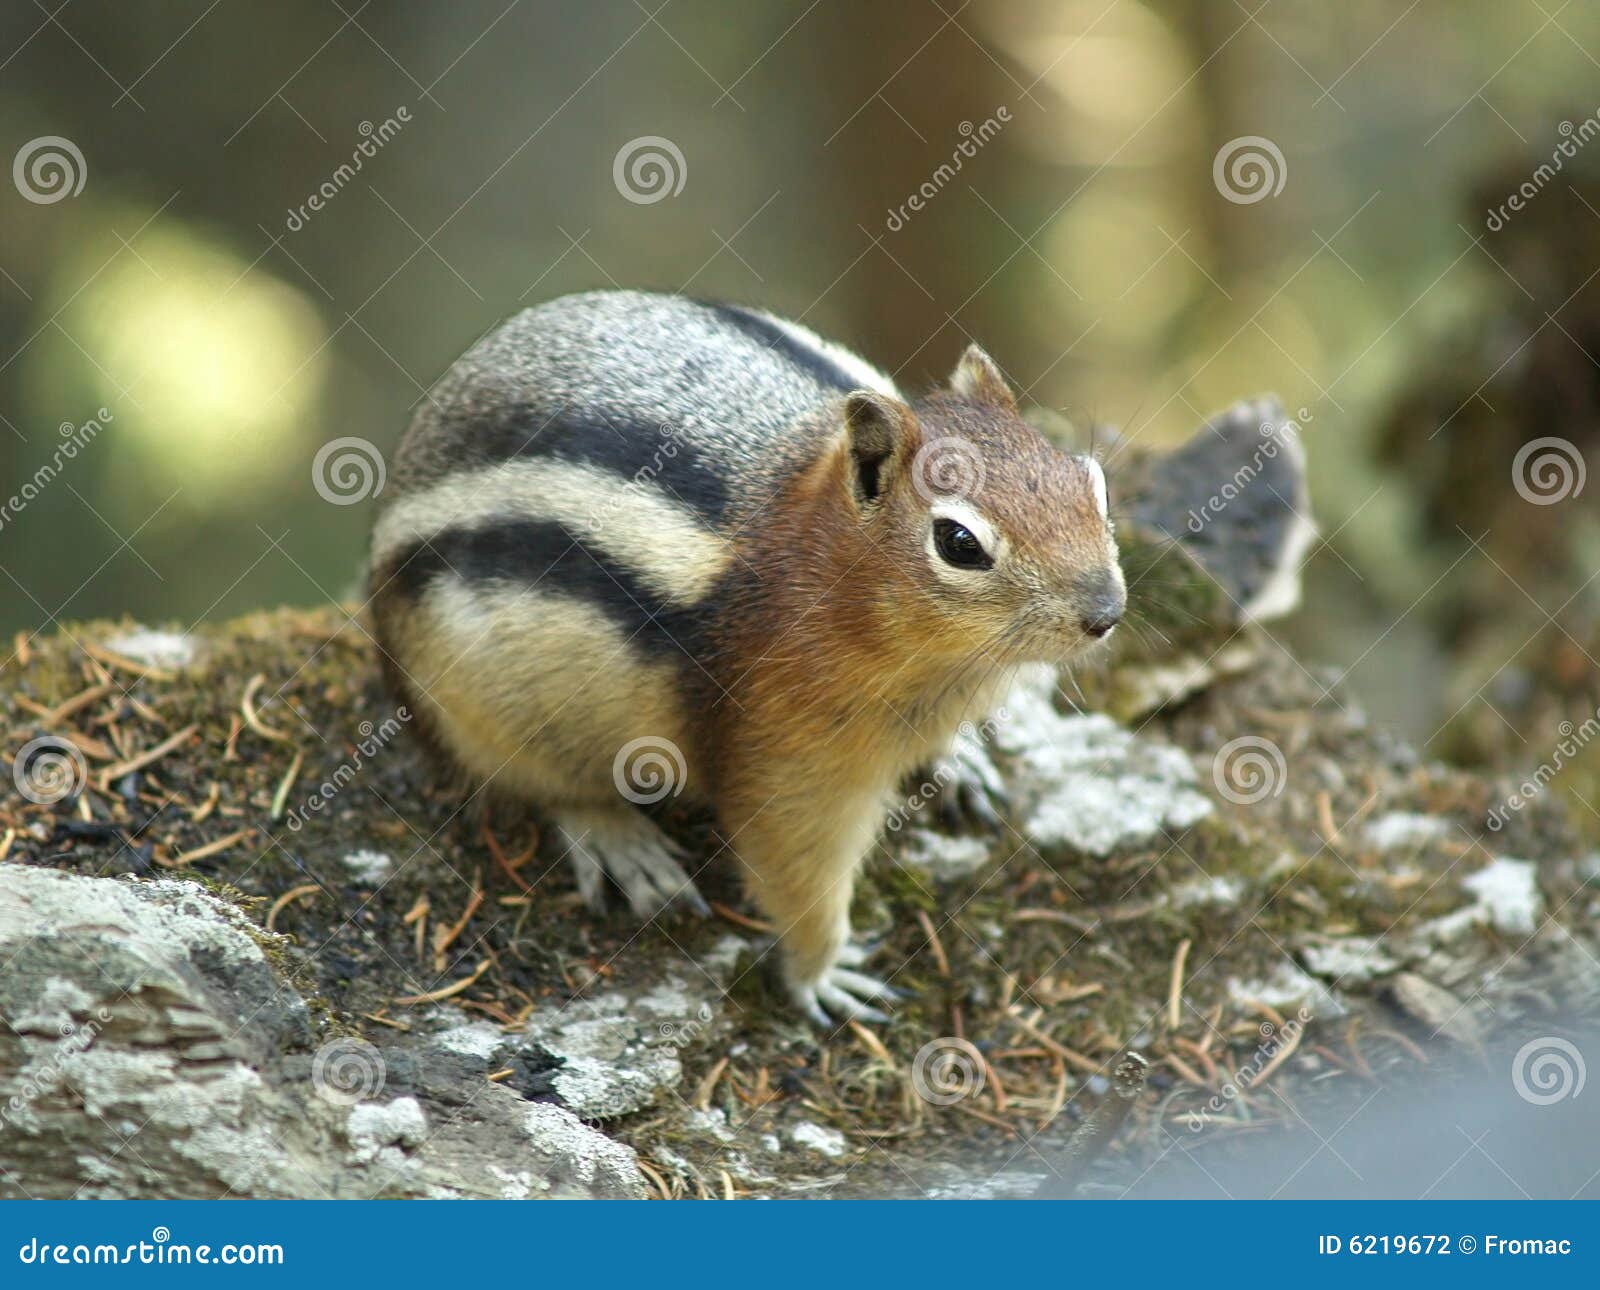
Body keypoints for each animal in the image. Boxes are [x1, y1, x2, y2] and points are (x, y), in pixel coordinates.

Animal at [368, 290, 1125, 1024]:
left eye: (1088, 481)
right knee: (536, 783)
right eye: (959, 543)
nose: (1108, 611)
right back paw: (620, 842)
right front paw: (824, 976)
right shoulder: (788, 753)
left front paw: (960, 757)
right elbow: (794, 868)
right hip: (480, 703)